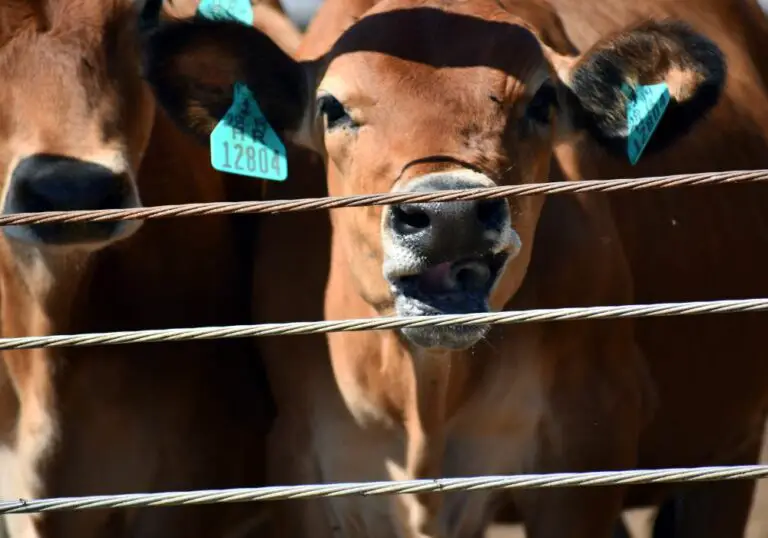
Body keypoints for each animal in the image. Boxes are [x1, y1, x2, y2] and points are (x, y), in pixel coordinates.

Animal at [141, 0, 768, 537]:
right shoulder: (308, 466)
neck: (426, 393)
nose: (450, 216)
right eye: (332, 108)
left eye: (542, 103)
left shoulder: (586, 450)